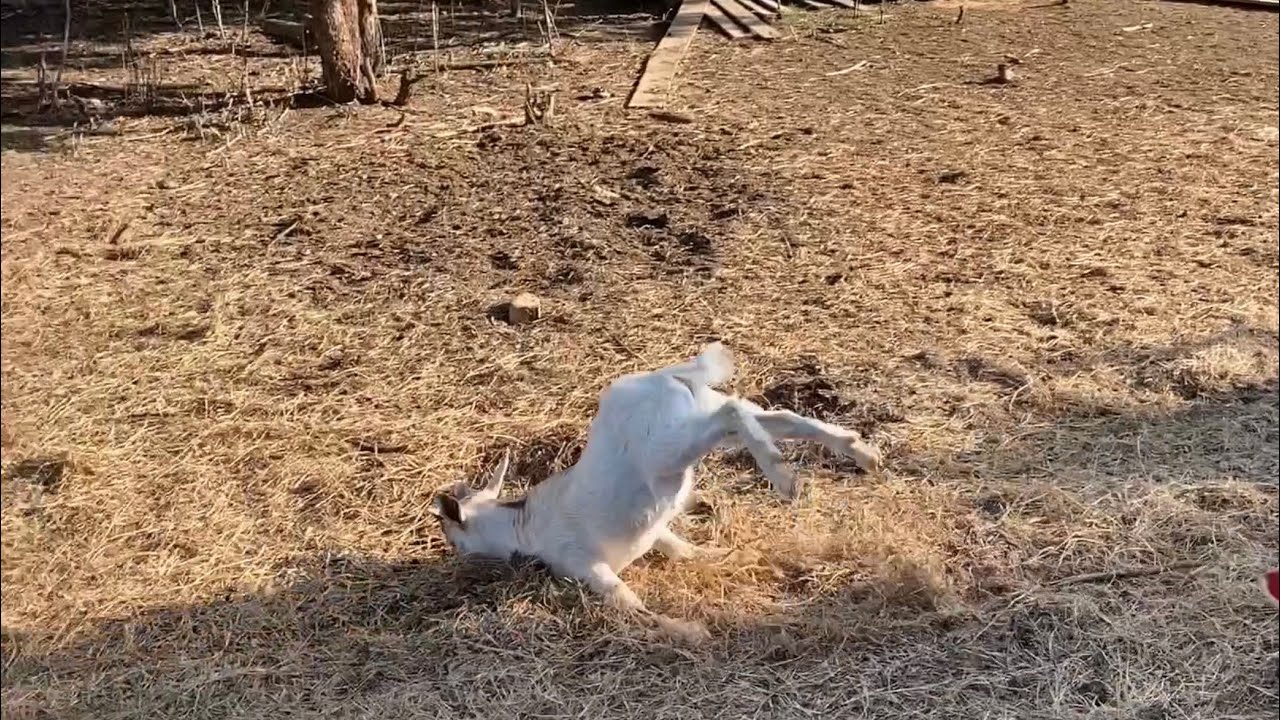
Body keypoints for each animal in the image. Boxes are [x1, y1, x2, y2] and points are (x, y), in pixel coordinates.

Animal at [428, 342, 882, 641]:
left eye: (453, 538)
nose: (457, 558)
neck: (523, 524)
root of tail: (659, 377)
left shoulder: (584, 565)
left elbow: (629, 605)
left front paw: (688, 630)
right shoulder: (654, 533)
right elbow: (685, 551)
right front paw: (737, 558)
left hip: (668, 447)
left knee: (732, 410)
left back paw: (783, 475)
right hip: (695, 420)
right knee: (776, 415)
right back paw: (860, 452)